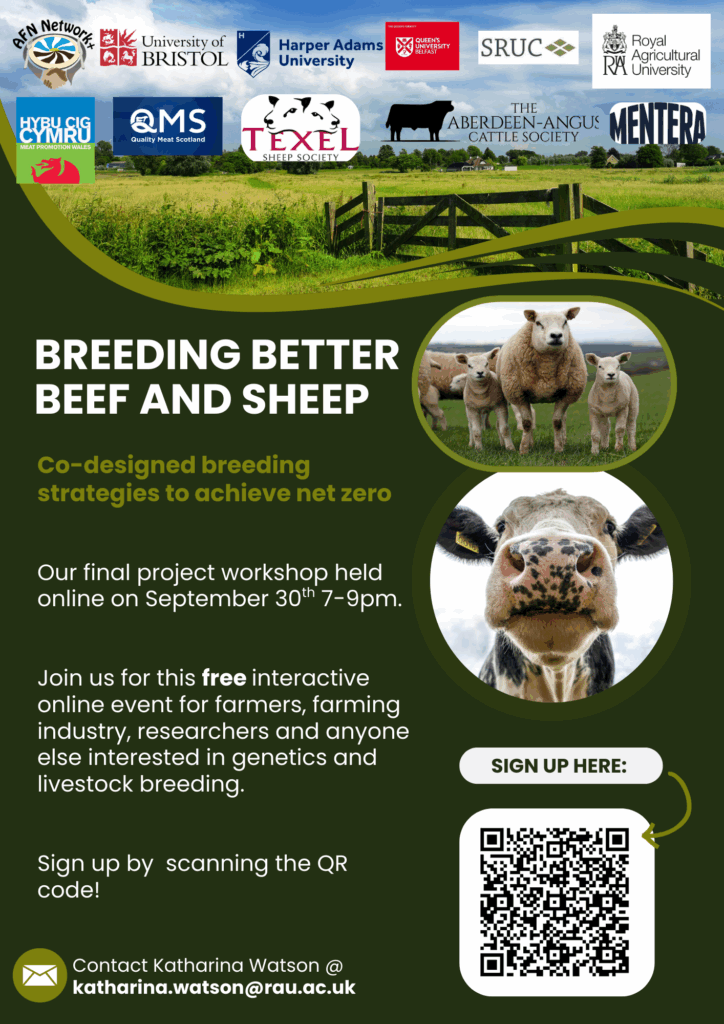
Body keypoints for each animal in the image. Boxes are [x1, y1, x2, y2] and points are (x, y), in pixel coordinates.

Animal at [496, 307, 586, 453]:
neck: (547, 369)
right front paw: (524, 449)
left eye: (565, 321)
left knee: (563, 419)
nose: (556, 335)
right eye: (538, 323)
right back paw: (529, 443)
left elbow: (557, 422)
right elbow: (527, 423)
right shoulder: (519, 395)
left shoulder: (566, 395)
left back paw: (563, 440)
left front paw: (558, 449)